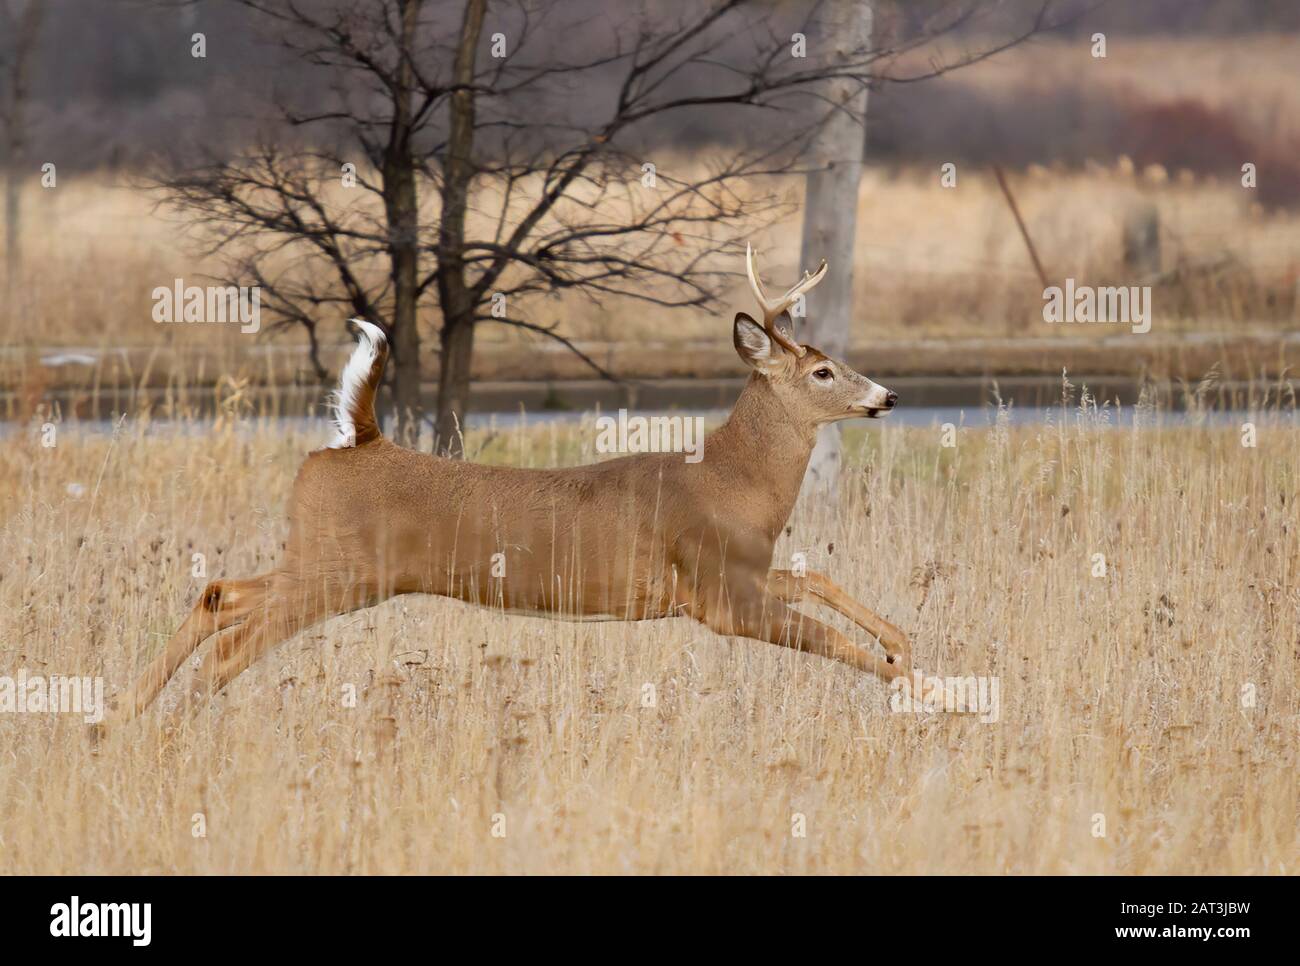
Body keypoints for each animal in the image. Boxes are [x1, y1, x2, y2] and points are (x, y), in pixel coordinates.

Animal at [105, 246, 920, 731]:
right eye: (823, 372)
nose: (887, 395)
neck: (732, 480)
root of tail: (357, 438)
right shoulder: (719, 595)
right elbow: (825, 637)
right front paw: (922, 690)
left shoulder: (738, 576)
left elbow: (820, 584)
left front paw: (907, 649)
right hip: (338, 569)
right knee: (232, 646)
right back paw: (166, 732)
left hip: (324, 563)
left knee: (219, 595)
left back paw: (117, 717)